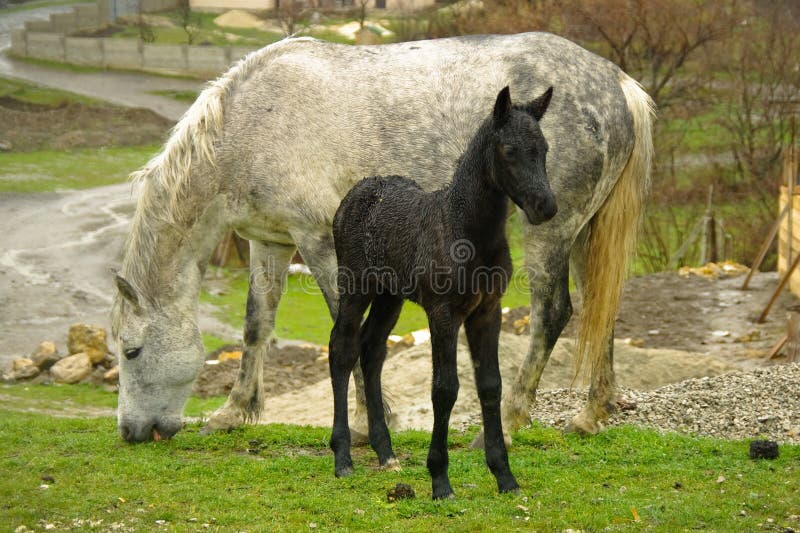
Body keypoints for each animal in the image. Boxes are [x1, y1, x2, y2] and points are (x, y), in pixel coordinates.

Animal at [110, 33, 653, 444]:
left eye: (131, 351)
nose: (131, 432)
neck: (251, 125)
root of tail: (617, 83)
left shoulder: (319, 241)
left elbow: (345, 331)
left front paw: (368, 423)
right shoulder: (271, 242)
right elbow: (256, 326)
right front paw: (234, 411)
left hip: (550, 230)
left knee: (552, 313)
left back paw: (506, 423)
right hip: (584, 233)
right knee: (599, 307)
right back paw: (590, 416)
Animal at [329, 85, 553, 499]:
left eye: (544, 148)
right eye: (509, 150)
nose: (546, 207)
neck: (466, 229)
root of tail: (359, 191)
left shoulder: (487, 310)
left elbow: (490, 385)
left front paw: (505, 476)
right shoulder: (443, 312)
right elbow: (445, 388)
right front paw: (440, 479)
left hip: (389, 296)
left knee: (372, 350)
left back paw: (386, 454)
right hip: (354, 286)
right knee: (343, 348)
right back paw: (343, 458)